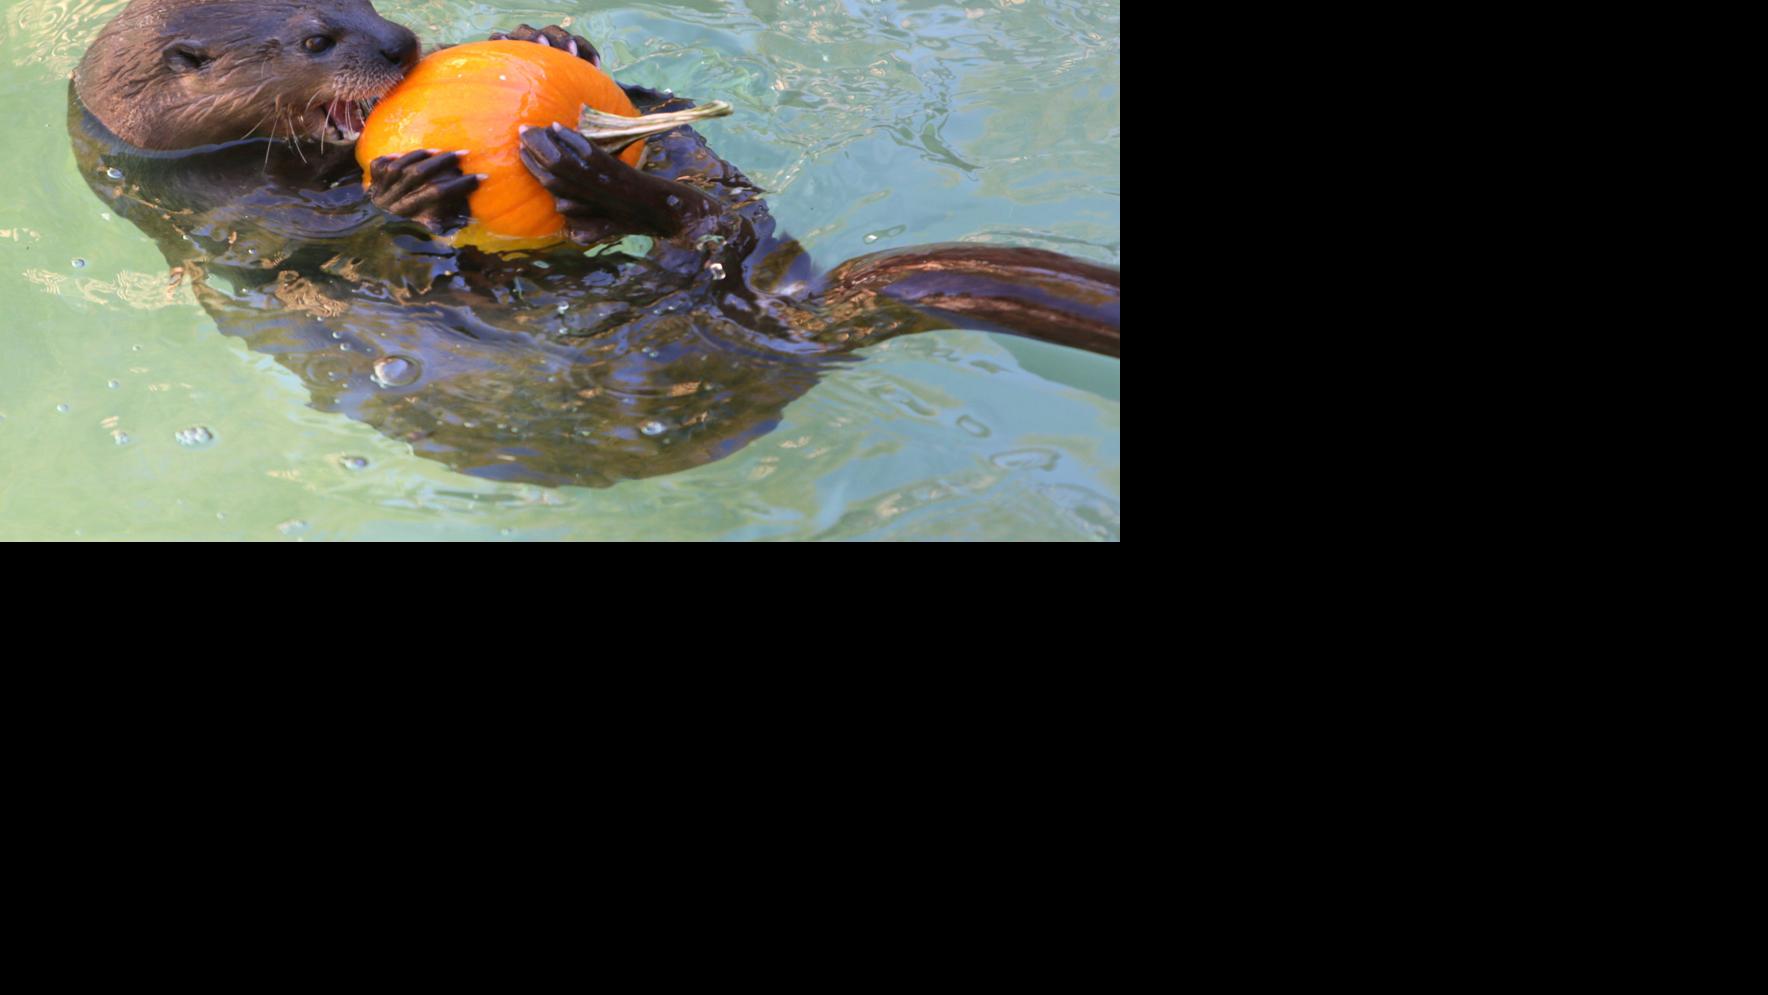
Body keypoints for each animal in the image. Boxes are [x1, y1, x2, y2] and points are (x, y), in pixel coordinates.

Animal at [68, 1, 1120, 487]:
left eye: (360, 0)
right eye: (318, 39)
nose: (401, 41)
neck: (204, 162)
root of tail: (785, 322)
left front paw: (550, 37)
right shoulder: (216, 210)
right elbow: (310, 244)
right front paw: (404, 189)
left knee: (713, 198)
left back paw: (598, 126)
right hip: (650, 351)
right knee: (700, 234)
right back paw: (601, 178)